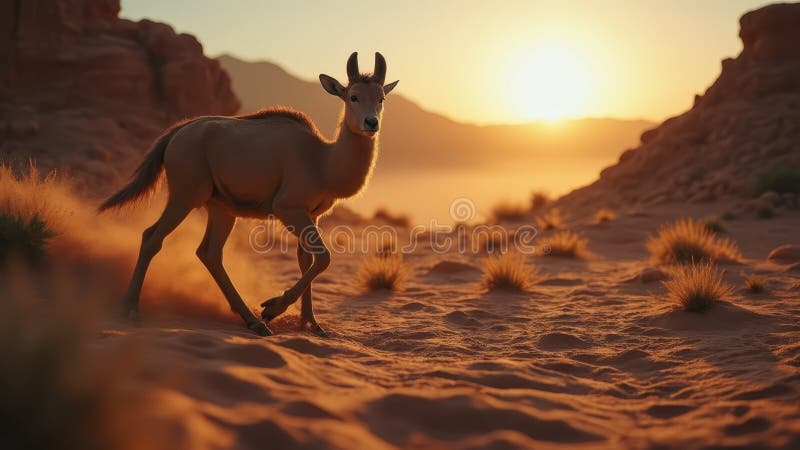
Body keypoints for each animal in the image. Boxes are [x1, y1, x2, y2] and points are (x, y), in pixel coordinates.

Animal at [99, 52, 398, 337]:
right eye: (353, 96)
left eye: (381, 98)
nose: (371, 123)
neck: (322, 160)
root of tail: (176, 134)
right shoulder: (288, 209)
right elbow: (323, 257)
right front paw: (272, 308)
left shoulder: (311, 216)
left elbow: (306, 260)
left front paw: (311, 323)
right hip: (184, 197)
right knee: (152, 238)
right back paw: (130, 309)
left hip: (221, 210)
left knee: (209, 253)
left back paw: (252, 321)